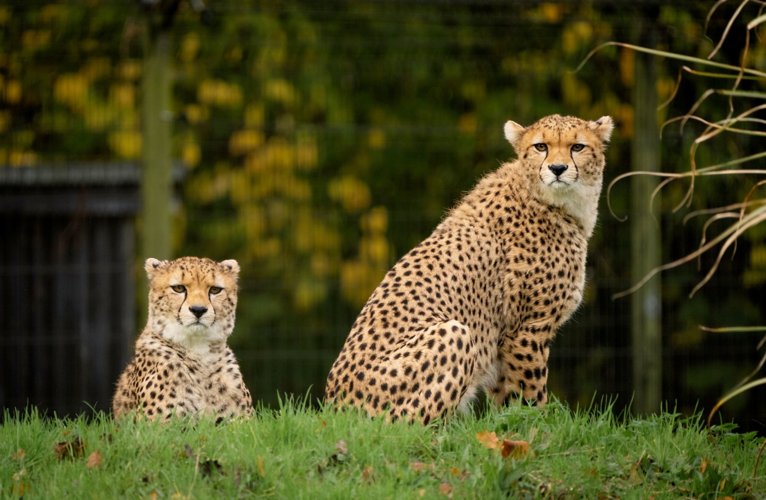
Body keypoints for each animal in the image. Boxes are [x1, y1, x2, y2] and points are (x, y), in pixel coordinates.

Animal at [112, 256, 253, 422]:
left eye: (214, 290)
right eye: (179, 288)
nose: (198, 310)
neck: (199, 351)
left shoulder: (243, 422)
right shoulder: (160, 424)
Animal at [325, 114, 614, 424]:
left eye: (577, 147)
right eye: (540, 146)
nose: (557, 169)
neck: (552, 201)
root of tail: (334, 409)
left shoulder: (503, 341)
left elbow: (506, 401)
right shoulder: (526, 329)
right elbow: (531, 394)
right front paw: (539, 426)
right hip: (453, 333)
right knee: (408, 426)